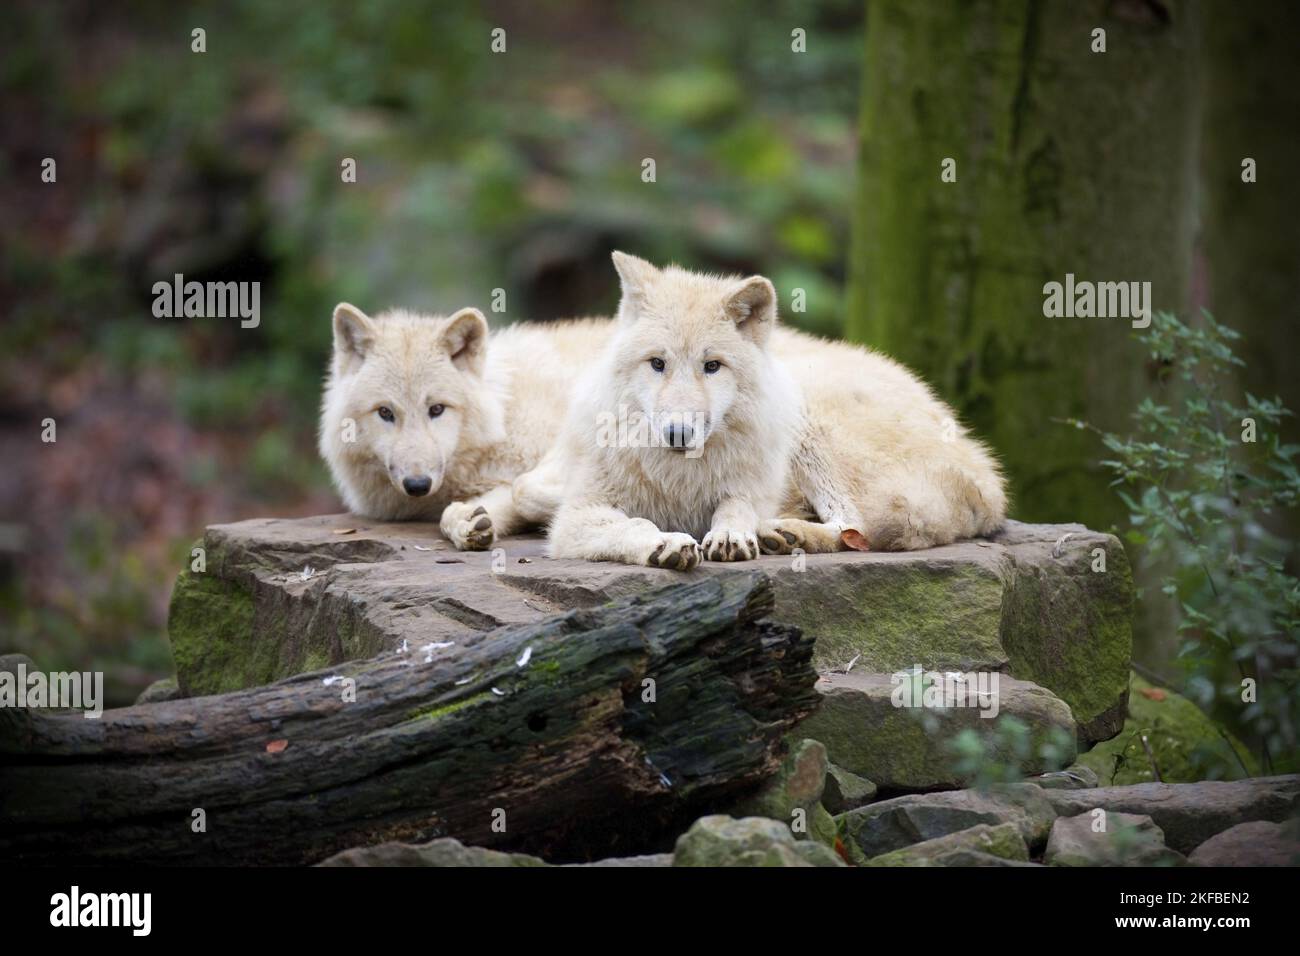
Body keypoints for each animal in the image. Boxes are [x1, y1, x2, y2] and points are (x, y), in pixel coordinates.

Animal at [537, 252, 1007, 568]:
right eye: (657, 363)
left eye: (712, 366)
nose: (678, 433)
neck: (679, 479)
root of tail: (986, 472)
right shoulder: (576, 517)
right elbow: (636, 524)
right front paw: (665, 543)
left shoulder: (751, 489)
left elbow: (736, 506)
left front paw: (731, 533)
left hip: (809, 418)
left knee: (856, 529)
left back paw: (782, 534)